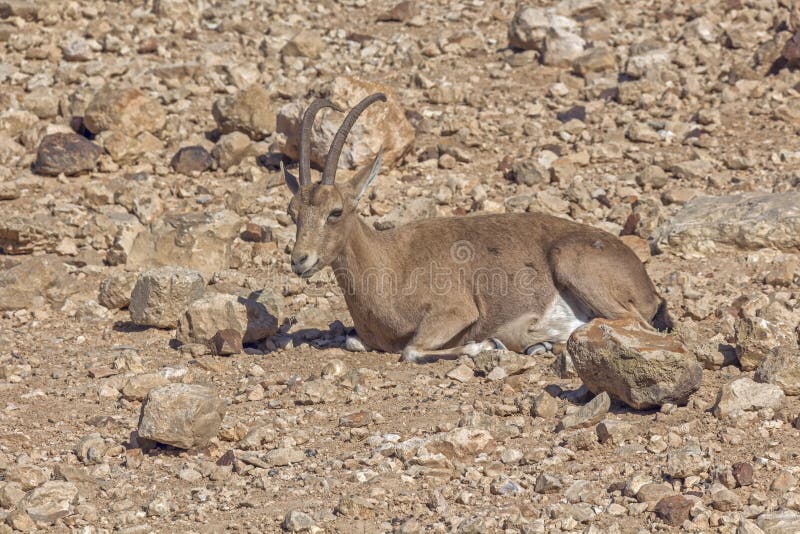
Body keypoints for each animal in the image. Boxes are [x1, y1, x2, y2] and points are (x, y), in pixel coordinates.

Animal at [281, 93, 671, 363]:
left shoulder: (455, 312)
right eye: (291, 211)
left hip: (573, 264)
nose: (300, 260)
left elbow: (412, 350)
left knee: (630, 324)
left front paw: (484, 345)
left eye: (335, 211)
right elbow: (354, 341)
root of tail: (646, 285)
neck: (389, 265)